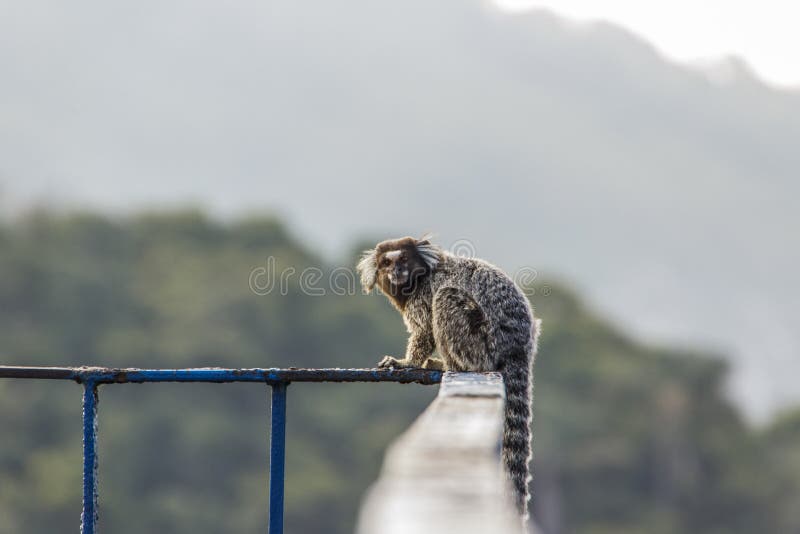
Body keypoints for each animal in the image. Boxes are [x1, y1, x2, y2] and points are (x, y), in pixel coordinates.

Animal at [356, 235, 540, 524]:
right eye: (386, 262)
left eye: (404, 259)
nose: (397, 271)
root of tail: (519, 350)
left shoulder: (424, 294)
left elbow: (424, 331)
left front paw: (407, 362)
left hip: (481, 345)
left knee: (446, 299)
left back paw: (448, 365)